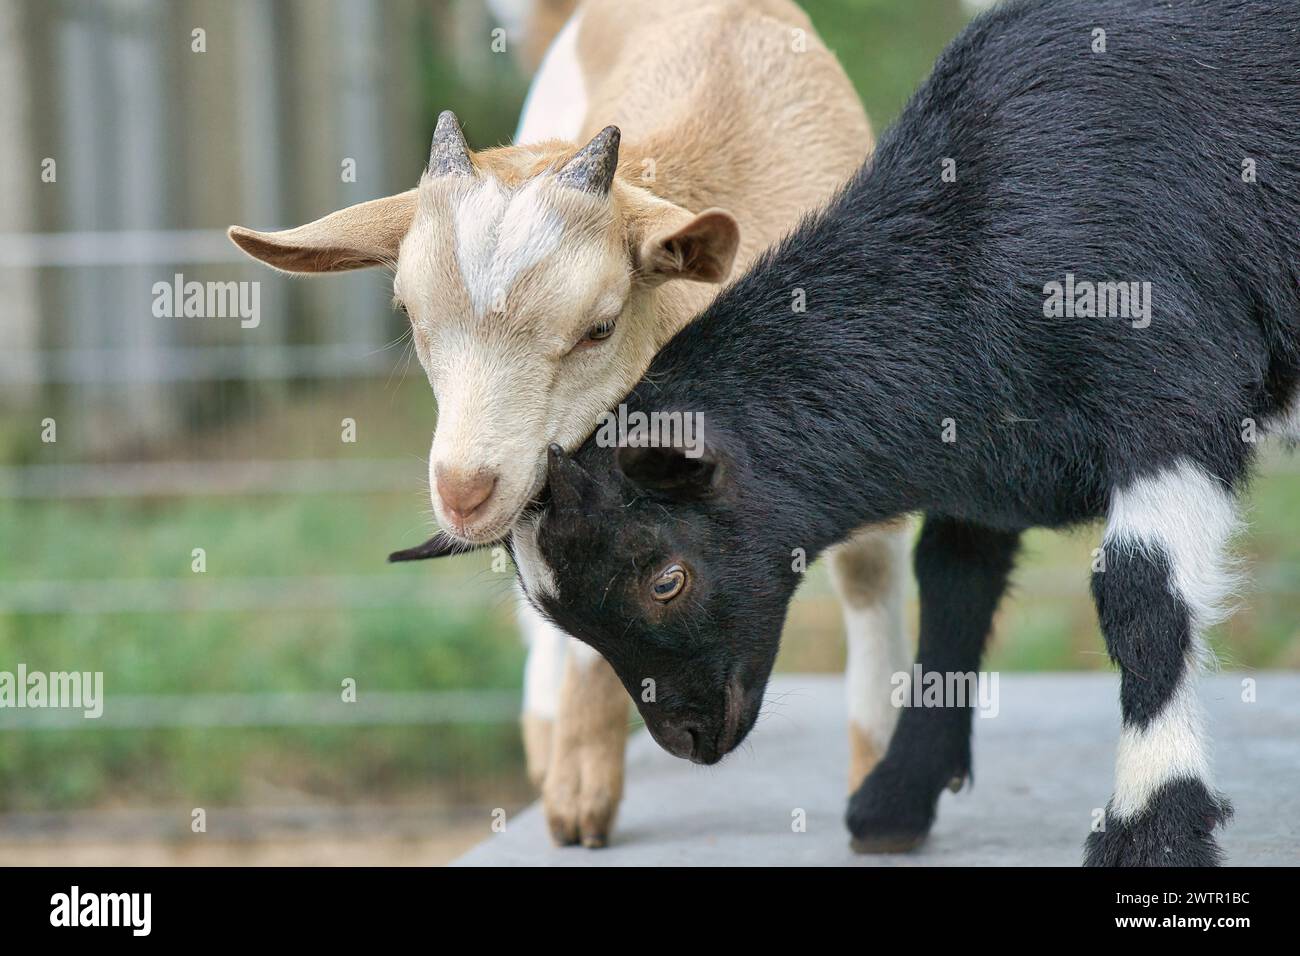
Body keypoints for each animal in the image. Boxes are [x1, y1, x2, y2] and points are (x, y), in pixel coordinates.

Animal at [228, 0, 903, 848]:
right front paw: (581, 790)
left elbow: (870, 575)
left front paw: (880, 791)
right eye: (410, 316)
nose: (463, 491)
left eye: (599, 328)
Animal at [523, 0, 1300, 865]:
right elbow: (952, 580)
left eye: (667, 579)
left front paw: (1152, 829)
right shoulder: (989, 443)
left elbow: (1141, 597)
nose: (689, 738)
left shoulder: (1171, 399)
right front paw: (899, 793)